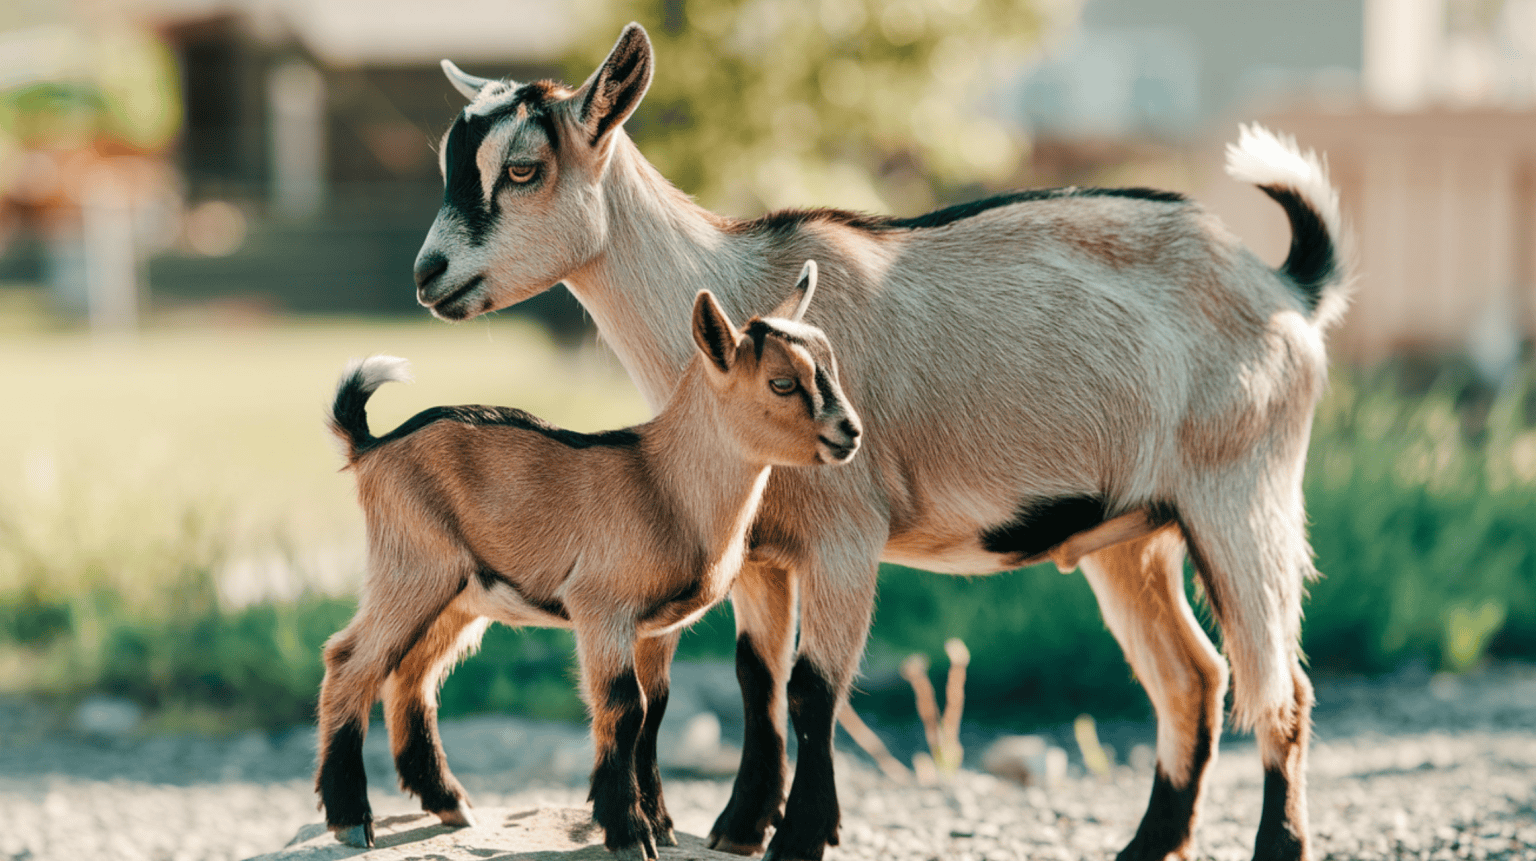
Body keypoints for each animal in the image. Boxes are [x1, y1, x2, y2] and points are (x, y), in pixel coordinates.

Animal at [314, 267, 862, 860]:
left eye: (831, 369)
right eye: (783, 383)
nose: (850, 432)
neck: (664, 485)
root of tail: (370, 446)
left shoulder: (656, 628)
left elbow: (654, 710)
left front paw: (659, 825)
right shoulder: (601, 607)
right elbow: (623, 707)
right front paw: (628, 833)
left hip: (461, 596)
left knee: (411, 677)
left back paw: (449, 803)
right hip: (413, 566)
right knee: (351, 661)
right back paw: (351, 819)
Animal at [412, 24, 1351, 861]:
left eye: (523, 169)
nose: (428, 275)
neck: (726, 285)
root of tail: (1287, 287)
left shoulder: (845, 533)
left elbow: (813, 687)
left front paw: (799, 836)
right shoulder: (763, 548)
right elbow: (758, 678)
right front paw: (741, 825)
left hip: (1243, 493)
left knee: (1280, 685)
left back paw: (1278, 843)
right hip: (1135, 534)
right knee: (1193, 677)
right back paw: (1150, 842)